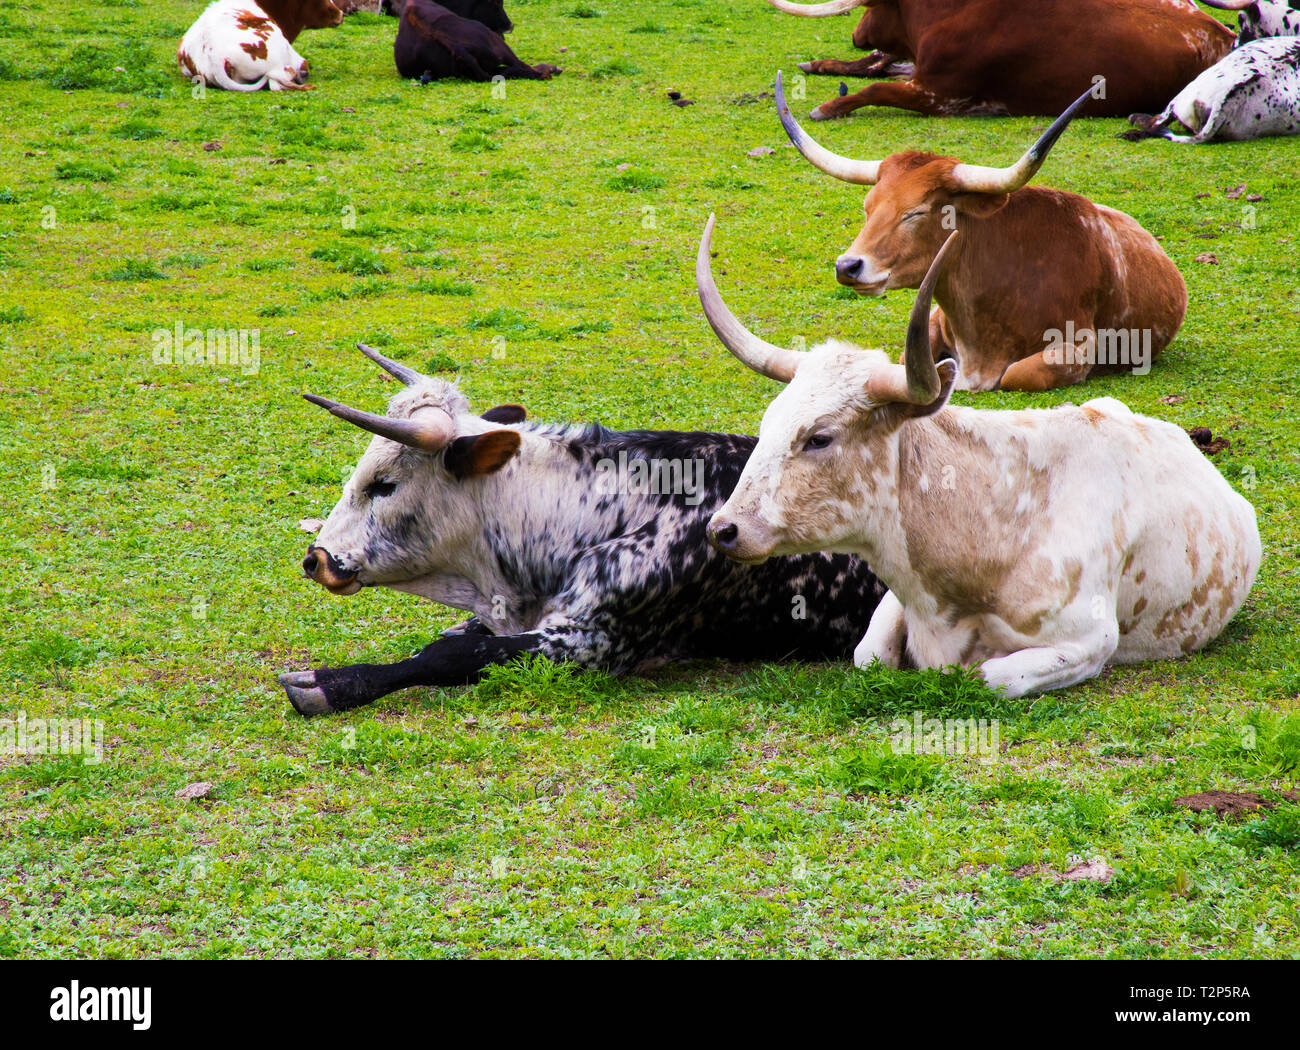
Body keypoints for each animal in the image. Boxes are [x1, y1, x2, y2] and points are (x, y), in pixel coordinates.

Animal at [277, 344, 886, 715]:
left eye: (384, 484)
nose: (316, 557)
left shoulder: (592, 643)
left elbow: (448, 657)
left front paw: (329, 685)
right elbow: (449, 641)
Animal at [696, 216, 1261, 699]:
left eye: (819, 438)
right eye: (768, 425)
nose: (723, 529)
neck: (992, 526)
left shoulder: (1088, 641)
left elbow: (986, 676)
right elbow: (868, 655)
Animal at [764, 0, 1235, 119]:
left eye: (873, 7)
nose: (856, 35)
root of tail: (1222, 32)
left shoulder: (940, 95)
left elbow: (878, 86)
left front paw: (829, 106)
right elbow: (877, 71)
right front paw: (820, 68)